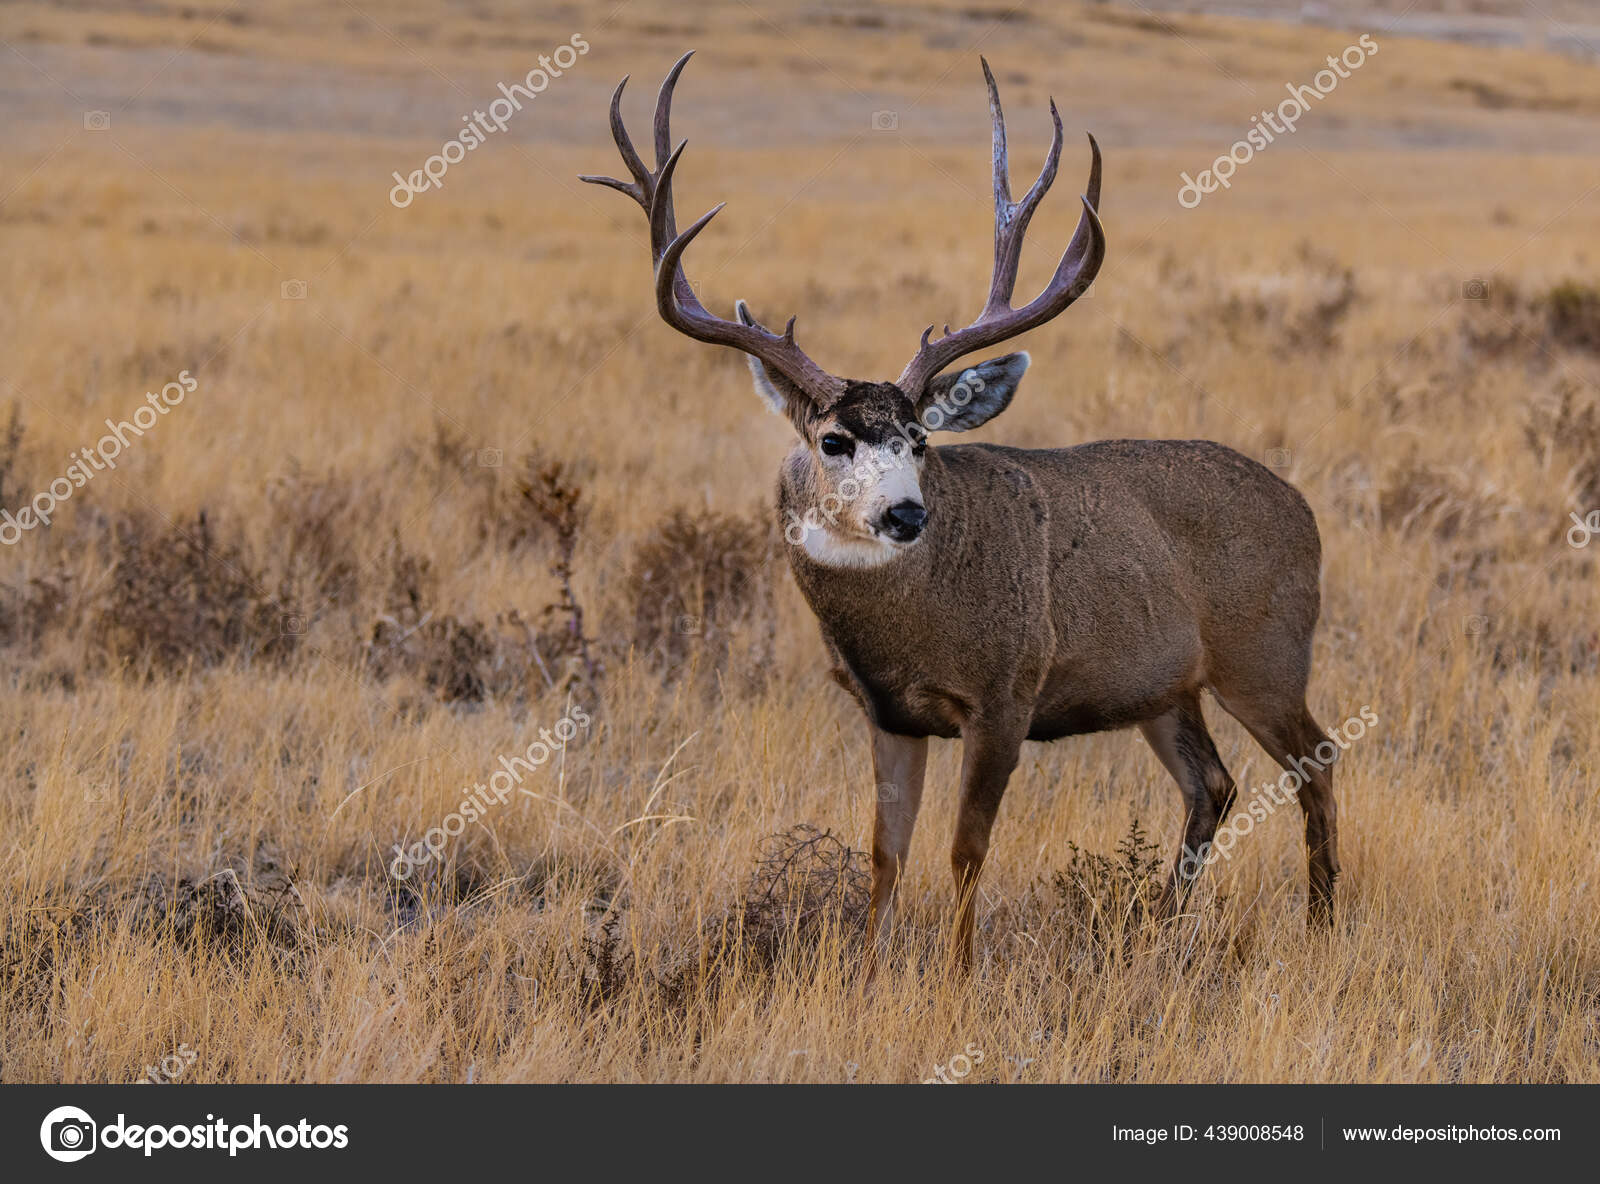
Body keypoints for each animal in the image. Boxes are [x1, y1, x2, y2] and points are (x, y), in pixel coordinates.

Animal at [581, 52, 1340, 976]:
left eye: (919, 438)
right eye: (833, 439)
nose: (906, 515)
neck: (907, 630)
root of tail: (1304, 510)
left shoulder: (1006, 693)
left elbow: (965, 849)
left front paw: (956, 974)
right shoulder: (886, 714)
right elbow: (886, 852)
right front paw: (870, 972)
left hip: (1264, 655)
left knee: (1316, 761)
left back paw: (1322, 924)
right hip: (1165, 687)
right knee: (1214, 785)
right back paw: (1159, 934)